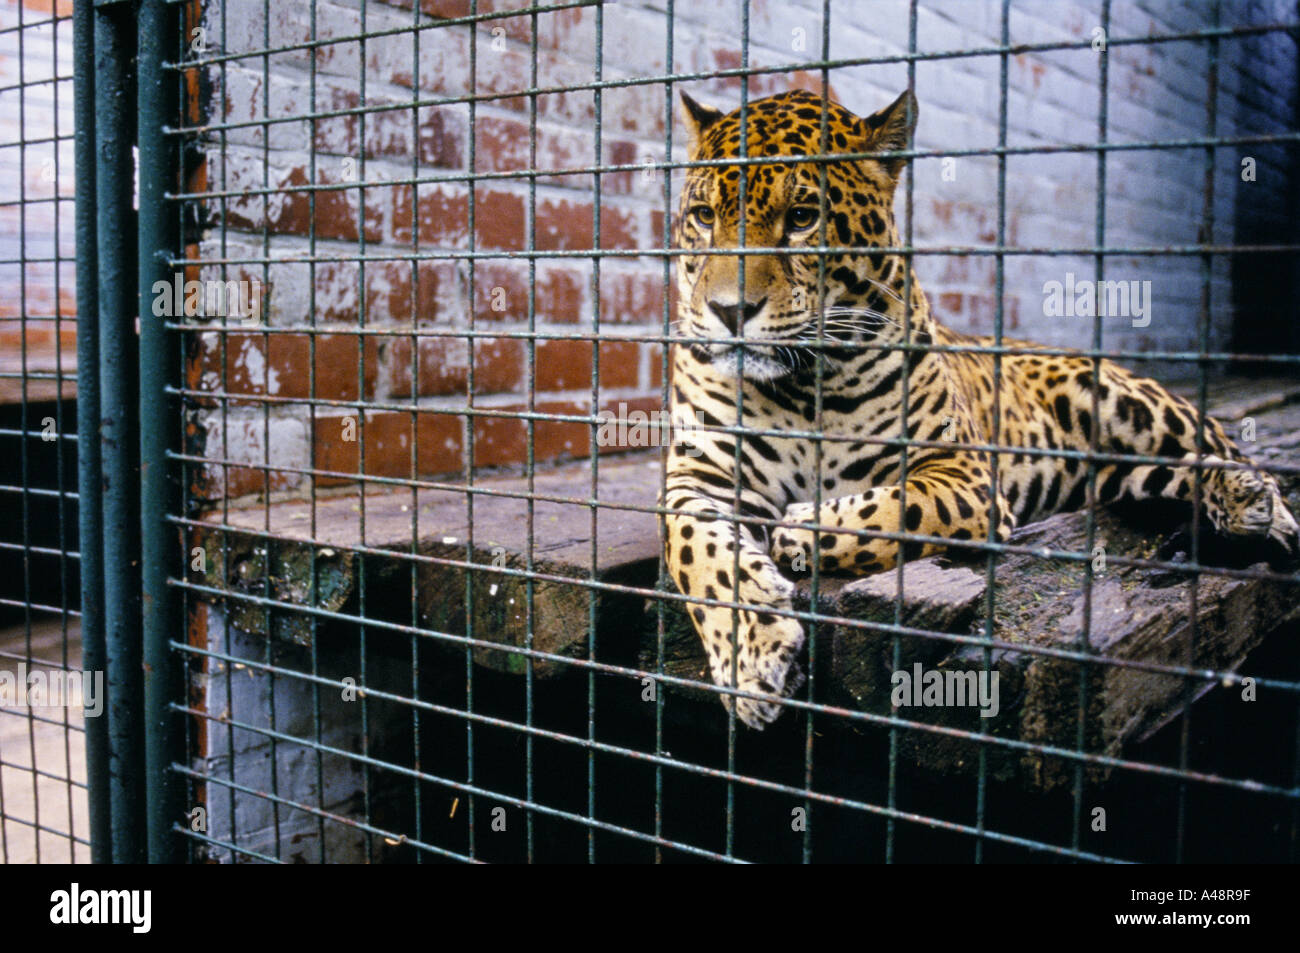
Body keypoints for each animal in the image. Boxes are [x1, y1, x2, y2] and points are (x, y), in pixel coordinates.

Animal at [662, 87, 1300, 730]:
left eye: (801, 218)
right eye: (704, 216)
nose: (729, 311)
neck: (802, 387)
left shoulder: (961, 472)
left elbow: (895, 510)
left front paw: (798, 531)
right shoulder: (700, 474)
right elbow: (697, 548)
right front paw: (751, 653)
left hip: (1126, 401)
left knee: (1218, 442)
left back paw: (1258, 503)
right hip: (1124, 474)